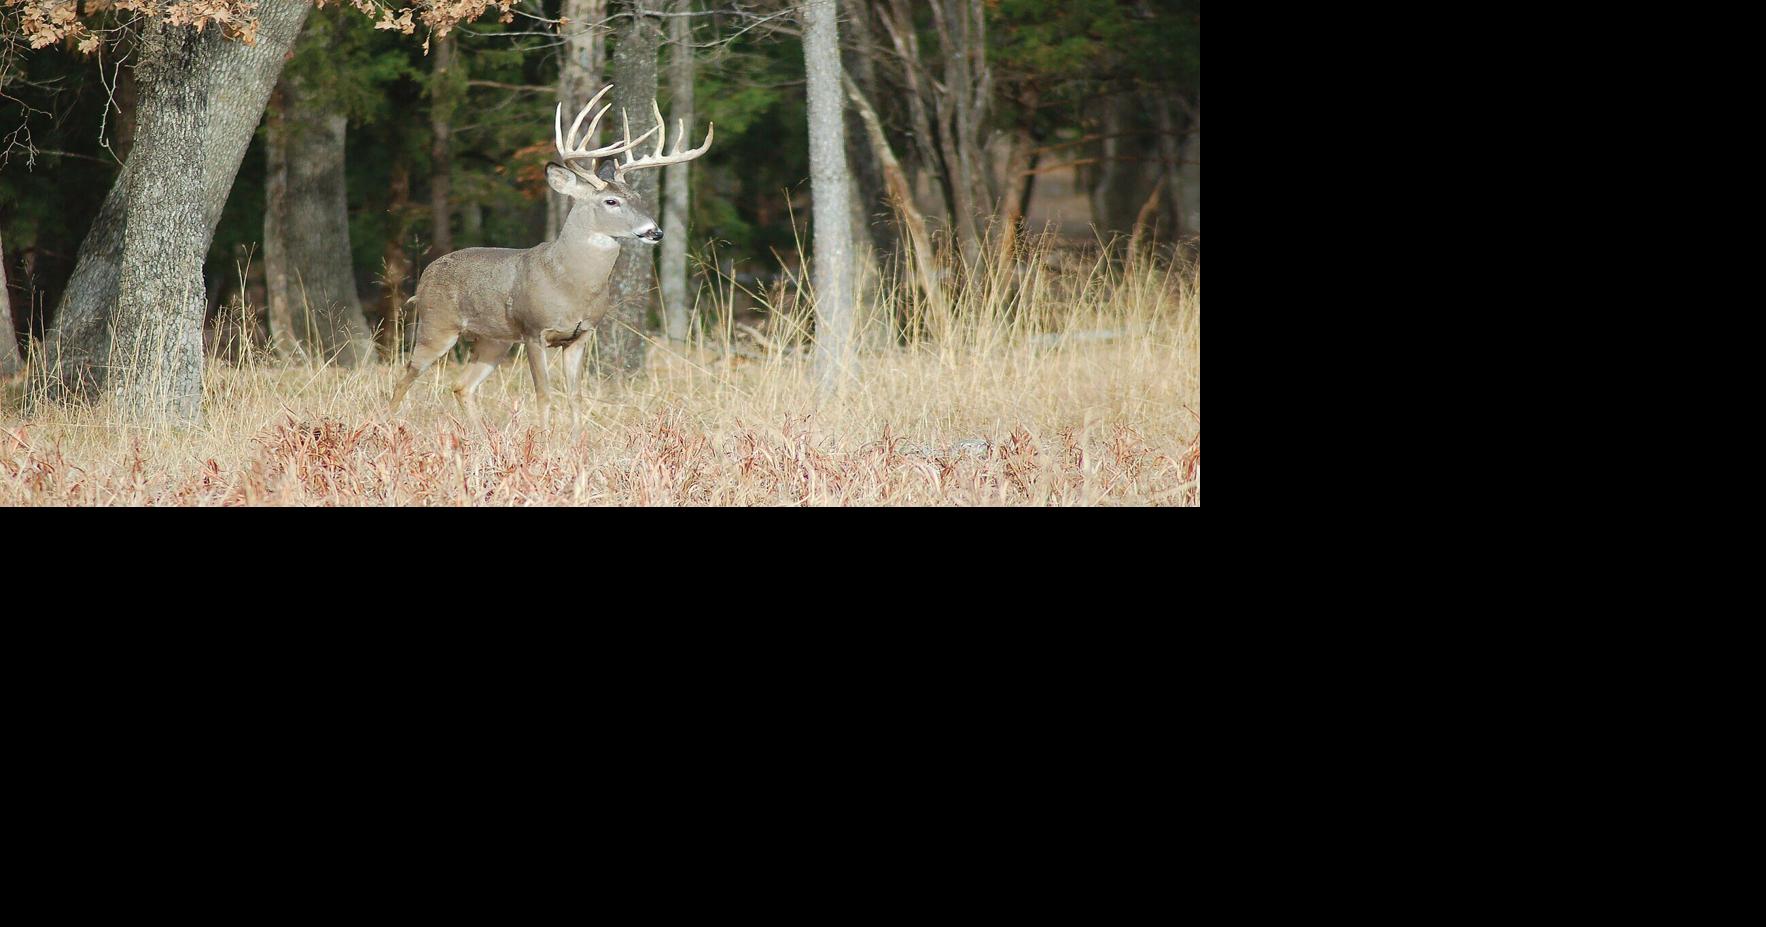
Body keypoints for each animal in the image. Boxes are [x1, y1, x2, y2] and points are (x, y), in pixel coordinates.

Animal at [389, 85, 713, 428]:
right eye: (611, 201)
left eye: (639, 197)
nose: (655, 231)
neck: (570, 284)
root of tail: (425, 276)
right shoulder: (534, 331)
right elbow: (544, 394)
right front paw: (543, 437)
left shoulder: (582, 334)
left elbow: (575, 396)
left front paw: (574, 437)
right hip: (437, 324)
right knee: (406, 376)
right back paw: (387, 422)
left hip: (495, 340)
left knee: (462, 386)